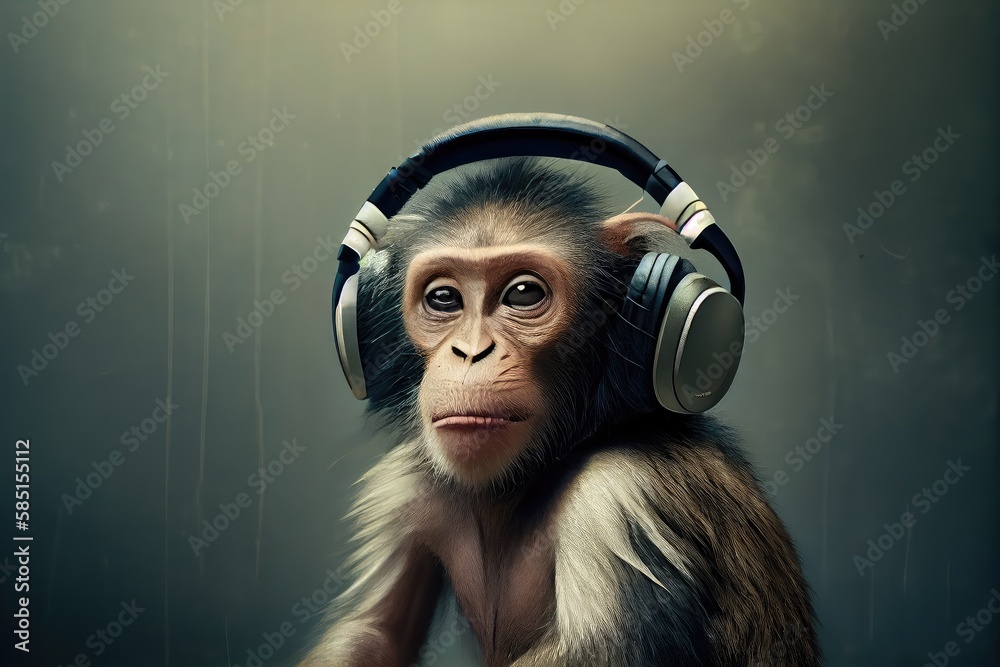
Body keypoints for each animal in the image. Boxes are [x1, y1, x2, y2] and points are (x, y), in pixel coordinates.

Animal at [303, 157, 819, 666]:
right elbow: (373, 631)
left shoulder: (621, 498)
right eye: (444, 299)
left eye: (523, 294)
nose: (470, 352)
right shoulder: (403, 485)